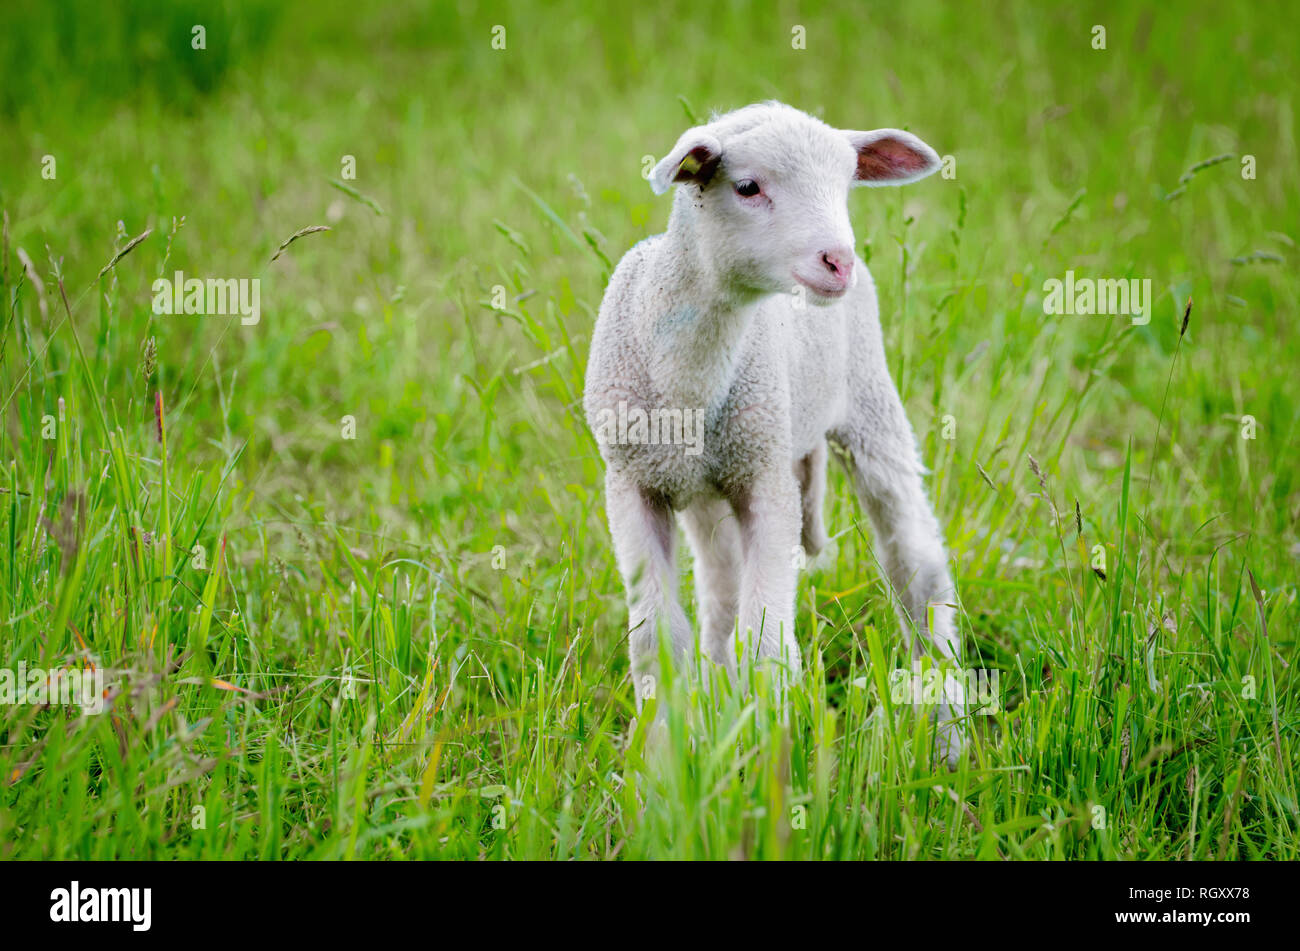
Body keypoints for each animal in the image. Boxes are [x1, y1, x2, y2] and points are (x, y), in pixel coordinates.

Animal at [584, 101, 965, 765]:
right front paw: (661, 760)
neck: (688, 380)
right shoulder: (632, 483)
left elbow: (764, 641)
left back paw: (944, 725)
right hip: (714, 484)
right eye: (746, 187)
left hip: (866, 401)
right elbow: (658, 639)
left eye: (845, 185)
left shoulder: (767, 480)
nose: (838, 261)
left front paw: (769, 753)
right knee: (719, 595)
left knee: (917, 565)